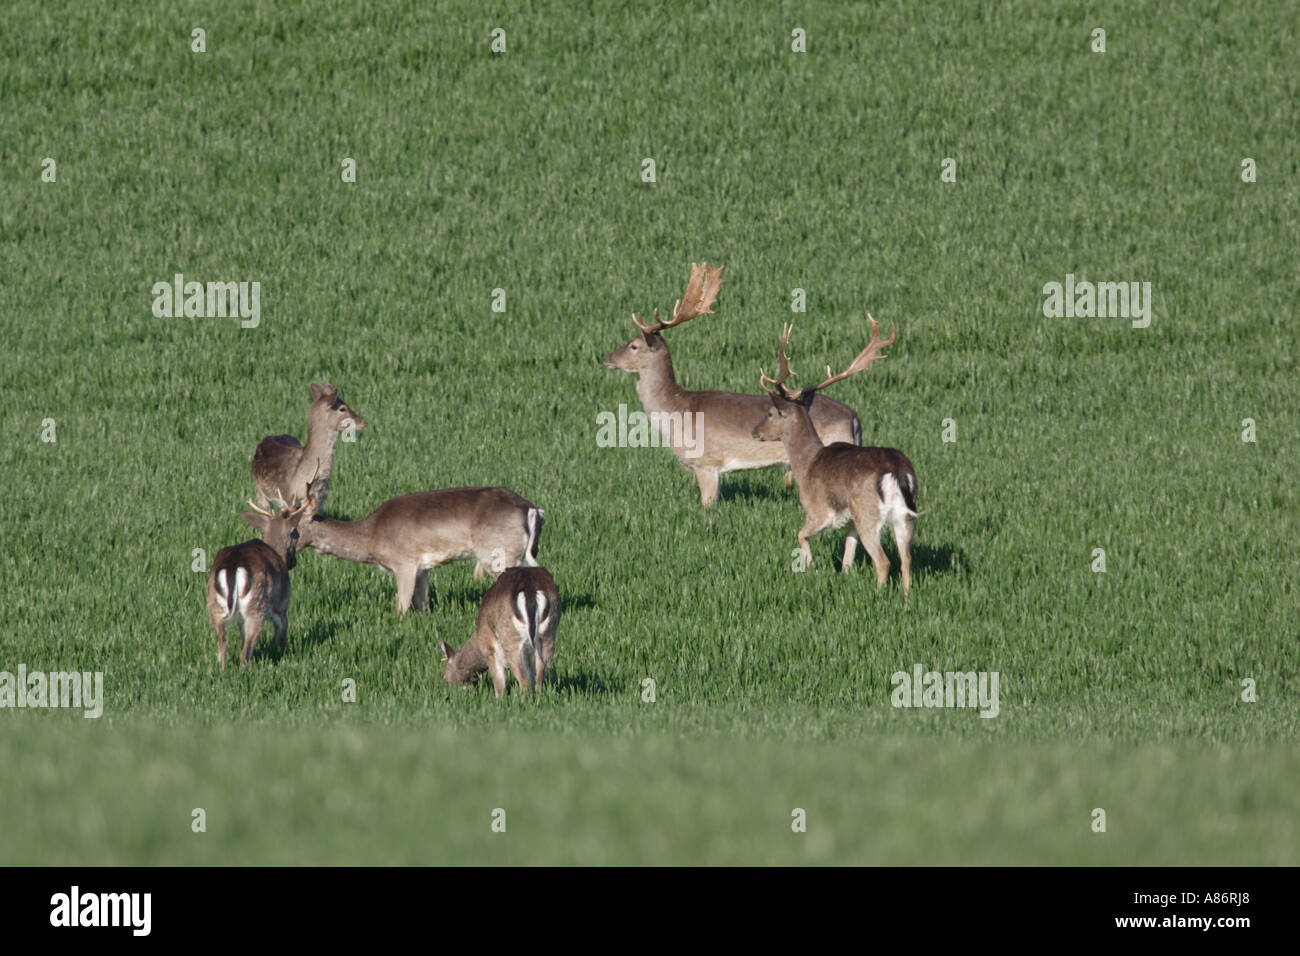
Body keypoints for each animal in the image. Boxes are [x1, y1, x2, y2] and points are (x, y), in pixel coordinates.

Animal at [206, 495, 312, 671]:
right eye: (296, 534)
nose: (293, 562)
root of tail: (232, 567)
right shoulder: (282, 605)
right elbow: (281, 633)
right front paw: (284, 655)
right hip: (256, 607)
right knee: (244, 653)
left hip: (214, 605)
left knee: (222, 648)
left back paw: (223, 672)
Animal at [297, 487, 543, 614]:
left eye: (293, 526)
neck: (371, 535)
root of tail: (532, 509)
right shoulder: (423, 568)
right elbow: (422, 603)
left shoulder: (404, 562)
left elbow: (402, 607)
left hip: (498, 554)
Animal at [440, 566, 560, 697]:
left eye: (445, 677)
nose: (449, 691)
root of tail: (530, 591)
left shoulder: (490, 649)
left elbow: (499, 686)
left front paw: (499, 699)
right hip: (548, 634)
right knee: (540, 678)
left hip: (511, 639)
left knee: (523, 682)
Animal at [754, 317, 919, 598]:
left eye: (771, 412)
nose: (755, 431)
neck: (806, 463)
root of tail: (898, 471)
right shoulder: (849, 523)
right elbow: (847, 560)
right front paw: (843, 578)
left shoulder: (818, 511)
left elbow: (800, 535)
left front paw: (810, 568)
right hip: (905, 515)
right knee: (906, 559)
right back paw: (906, 599)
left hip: (867, 513)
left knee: (884, 561)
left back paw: (878, 597)